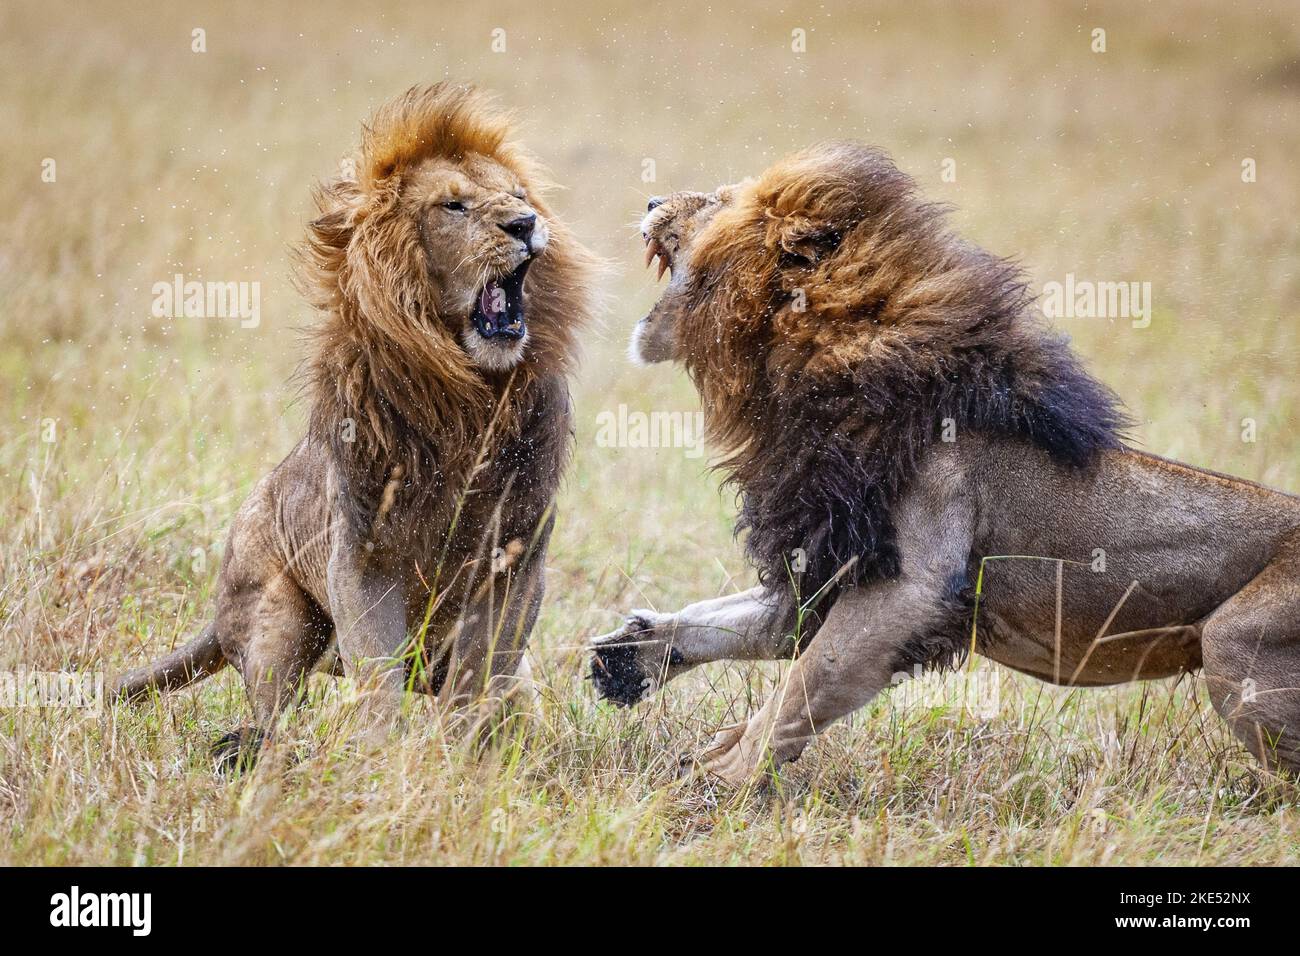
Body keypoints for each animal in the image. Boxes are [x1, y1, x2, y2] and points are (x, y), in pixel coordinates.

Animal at [112, 83, 596, 769]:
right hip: (279, 617)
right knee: (271, 709)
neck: (471, 398)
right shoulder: (363, 557)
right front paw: (382, 760)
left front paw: (464, 760)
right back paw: (252, 751)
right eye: (454, 205)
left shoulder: (517, 559)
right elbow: (376, 676)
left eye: (521, 198)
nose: (524, 226)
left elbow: (482, 678)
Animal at [591, 142, 1300, 785]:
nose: (651, 200)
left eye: (718, 200)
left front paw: (720, 780)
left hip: (1233, 645)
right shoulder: (828, 554)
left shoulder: (910, 586)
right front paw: (634, 653)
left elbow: (804, 685)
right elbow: (731, 621)